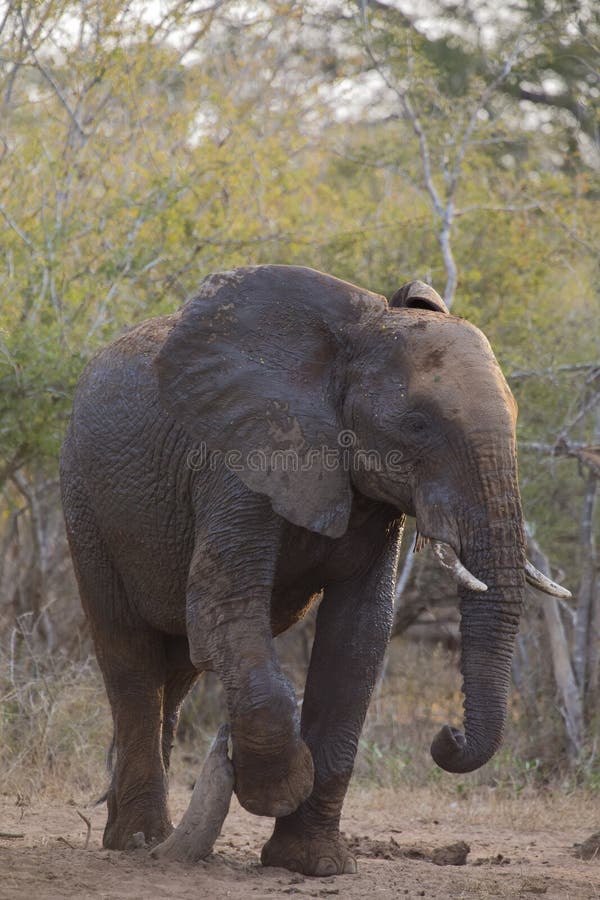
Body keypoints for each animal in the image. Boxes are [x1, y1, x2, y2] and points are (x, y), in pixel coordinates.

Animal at [60, 265, 568, 876]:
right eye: (417, 425)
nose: (446, 735)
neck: (352, 338)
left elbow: (358, 636)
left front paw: (312, 864)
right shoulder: (239, 457)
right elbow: (224, 607)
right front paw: (275, 790)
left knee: (176, 668)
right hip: (86, 502)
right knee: (130, 657)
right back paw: (138, 839)